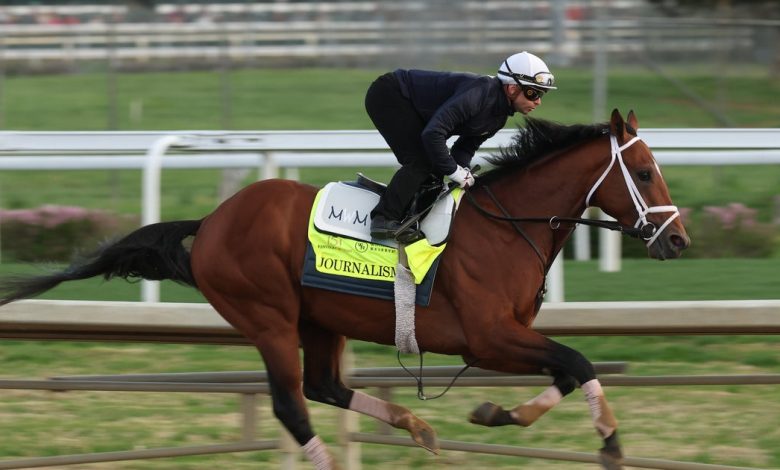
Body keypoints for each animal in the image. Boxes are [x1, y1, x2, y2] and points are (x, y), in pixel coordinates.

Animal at [0, 109, 689, 469]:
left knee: (325, 386)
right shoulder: (488, 338)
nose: (678, 240)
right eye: (645, 171)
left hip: (320, 320)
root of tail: (214, 220)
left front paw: (497, 413)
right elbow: (578, 360)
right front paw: (611, 441)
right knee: (292, 402)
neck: (504, 227)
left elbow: (569, 368)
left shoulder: (503, 338)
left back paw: (415, 425)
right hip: (269, 318)